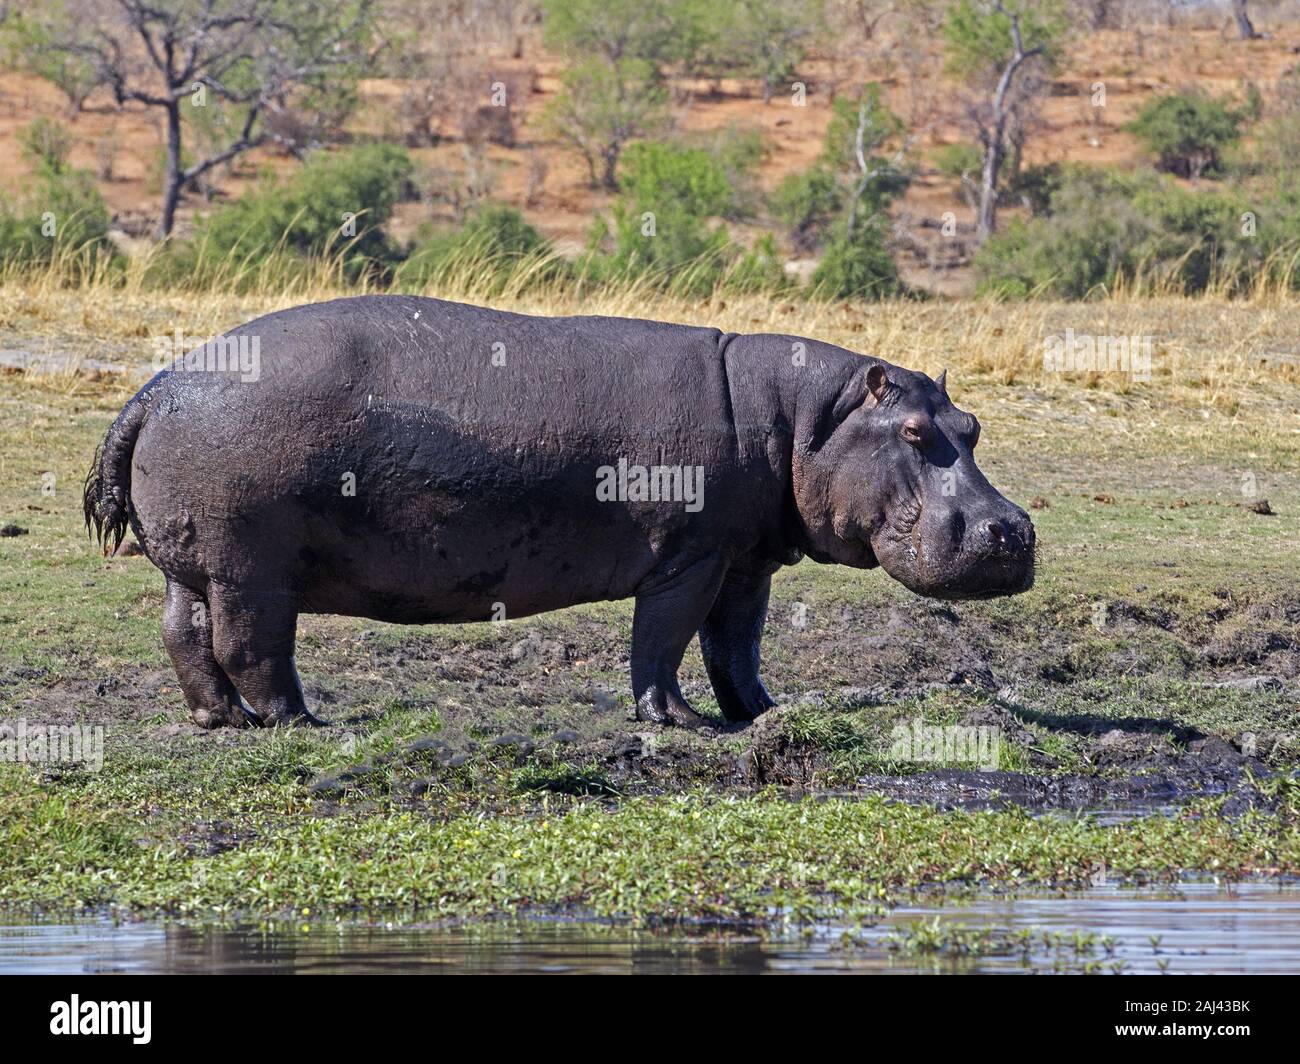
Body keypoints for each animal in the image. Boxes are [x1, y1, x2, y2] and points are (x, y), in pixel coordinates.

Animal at [84, 295, 1034, 729]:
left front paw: (761, 714)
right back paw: (299, 722)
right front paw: (681, 724)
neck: (805, 420)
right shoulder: (689, 556)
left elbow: (738, 645)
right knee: (251, 646)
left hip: (197, 561)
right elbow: (664, 640)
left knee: (184, 635)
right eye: (913, 431)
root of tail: (155, 387)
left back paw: (221, 721)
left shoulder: (744, 559)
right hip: (253, 568)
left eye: (971, 425)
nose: (1016, 529)